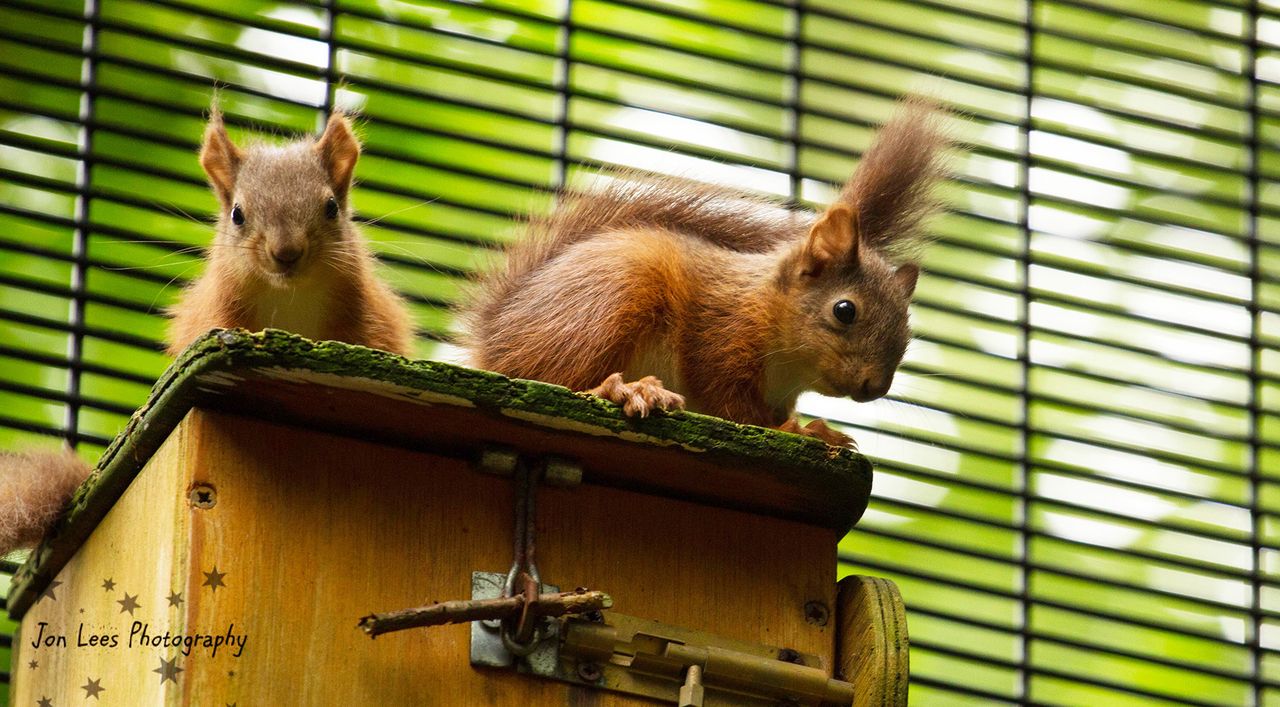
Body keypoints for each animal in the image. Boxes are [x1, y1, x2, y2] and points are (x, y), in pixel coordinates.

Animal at [461, 97, 948, 447]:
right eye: (844, 310)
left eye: (907, 334)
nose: (874, 387)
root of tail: (494, 342)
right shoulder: (720, 340)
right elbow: (731, 407)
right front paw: (799, 430)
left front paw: (819, 429)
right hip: (606, 305)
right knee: (557, 378)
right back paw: (626, 391)